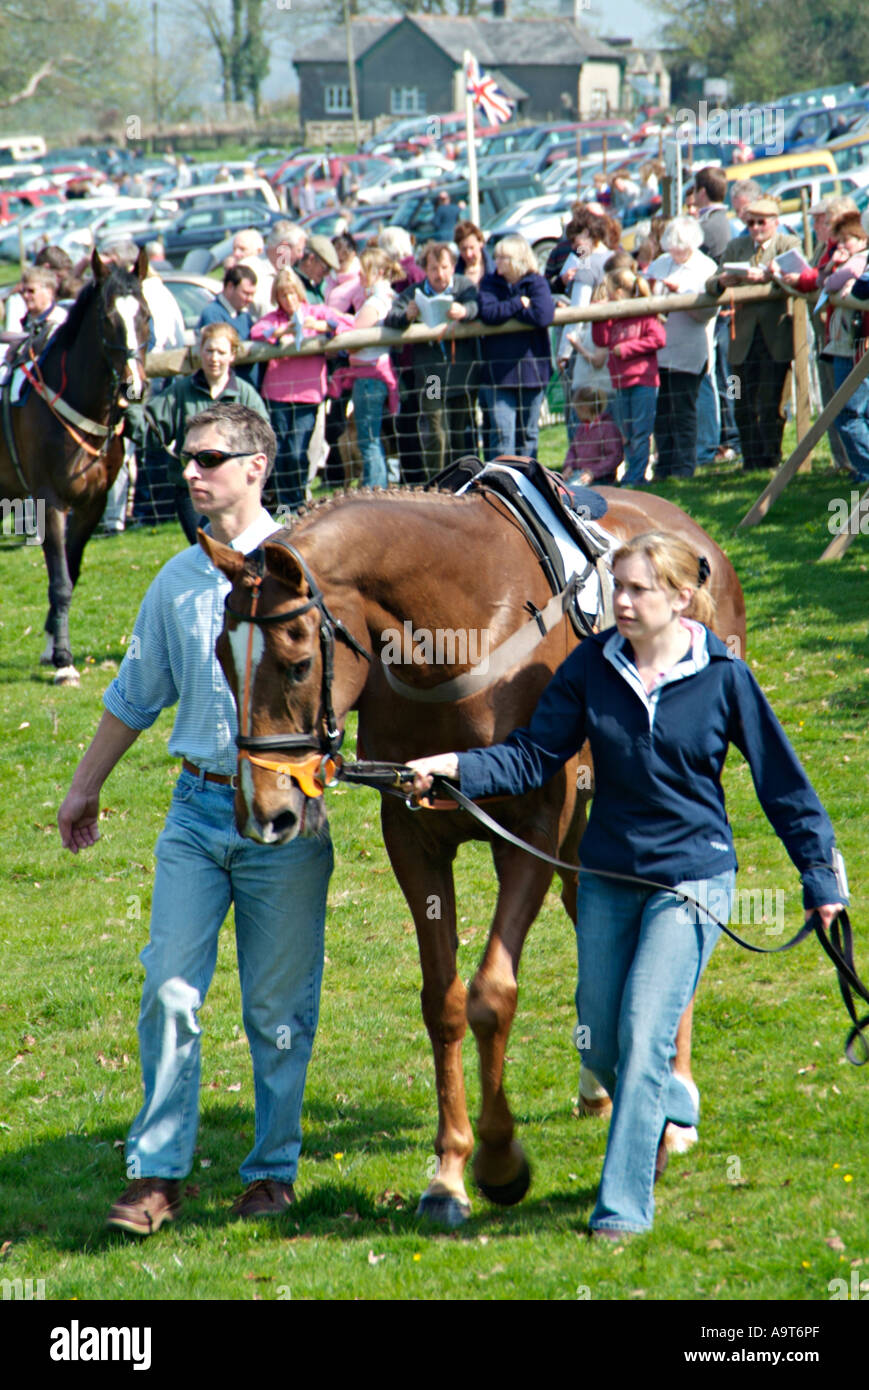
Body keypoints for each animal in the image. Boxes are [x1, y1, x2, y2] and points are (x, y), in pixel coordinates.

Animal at [0, 249, 151, 684]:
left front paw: (52, 647)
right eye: (109, 318)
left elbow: (71, 569)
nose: (134, 387)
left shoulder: (92, 504)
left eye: (145, 315)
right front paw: (64, 661)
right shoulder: (49, 501)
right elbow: (61, 581)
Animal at [200, 484, 746, 1226]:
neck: (460, 632)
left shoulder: (533, 831)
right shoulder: (414, 837)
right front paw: (450, 1172)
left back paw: (676, 1100)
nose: (265, 811)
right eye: (223, 660)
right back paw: (599, 1085)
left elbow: (491, 994)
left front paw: (499, 1162)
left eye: (297, 661)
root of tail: (691, 532)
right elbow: (445, 1001)